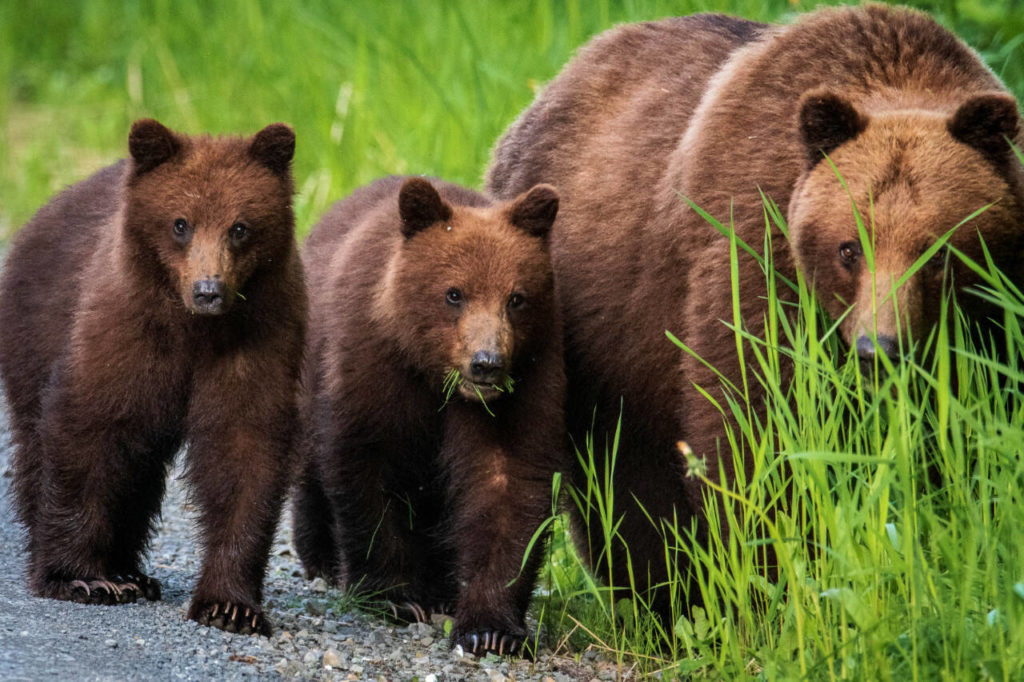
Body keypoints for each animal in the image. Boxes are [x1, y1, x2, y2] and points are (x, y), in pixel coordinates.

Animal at [0, 119, 307, 635]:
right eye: (180, 223)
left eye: (240, 227)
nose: (208, 290)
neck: (193, 329)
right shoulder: (125, 325)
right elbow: (89, 425)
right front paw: (80, 578)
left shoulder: (260, 336)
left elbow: (247, 448)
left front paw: (231, 606)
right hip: (32, 336)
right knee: (48, 445)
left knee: (139, 469)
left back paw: (132, 571)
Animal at [290, 175, 564, 657]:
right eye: (454, 293)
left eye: (517, 298)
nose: (486, 363)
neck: (434, 377)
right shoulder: (372, 367)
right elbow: (365, 467)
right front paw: (393, 597)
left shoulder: (525, 386)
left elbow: (508, 486)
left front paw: (490, 628)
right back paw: (322, 559)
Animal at [486, 5, 1024, 619]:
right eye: (849, 248)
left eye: (937, 251)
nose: (878, 349)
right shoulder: (755, 255)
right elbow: (758, 433)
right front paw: (781, 584)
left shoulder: (993, 319)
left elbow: (975, 437)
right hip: (596, 321)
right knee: (622, 480)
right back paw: (664, 602)